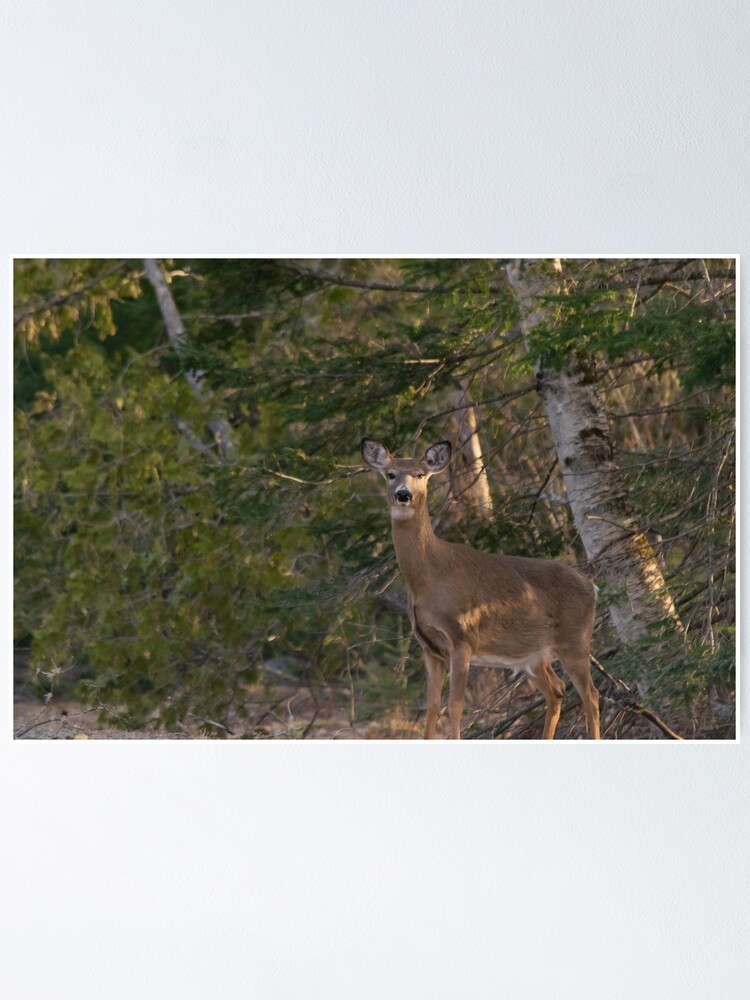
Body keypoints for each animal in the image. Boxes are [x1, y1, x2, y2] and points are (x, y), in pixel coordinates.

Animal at [361, 438, 600, 740]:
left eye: (420, 474)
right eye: (390, 474)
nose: (403, 495)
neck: (428, 577)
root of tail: (592, 586)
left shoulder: (462, 637)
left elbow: (455, 706)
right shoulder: (429, 646)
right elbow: (431, 707)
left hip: (575, 639)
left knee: (591, 694)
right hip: (533, 656)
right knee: (557, 690)